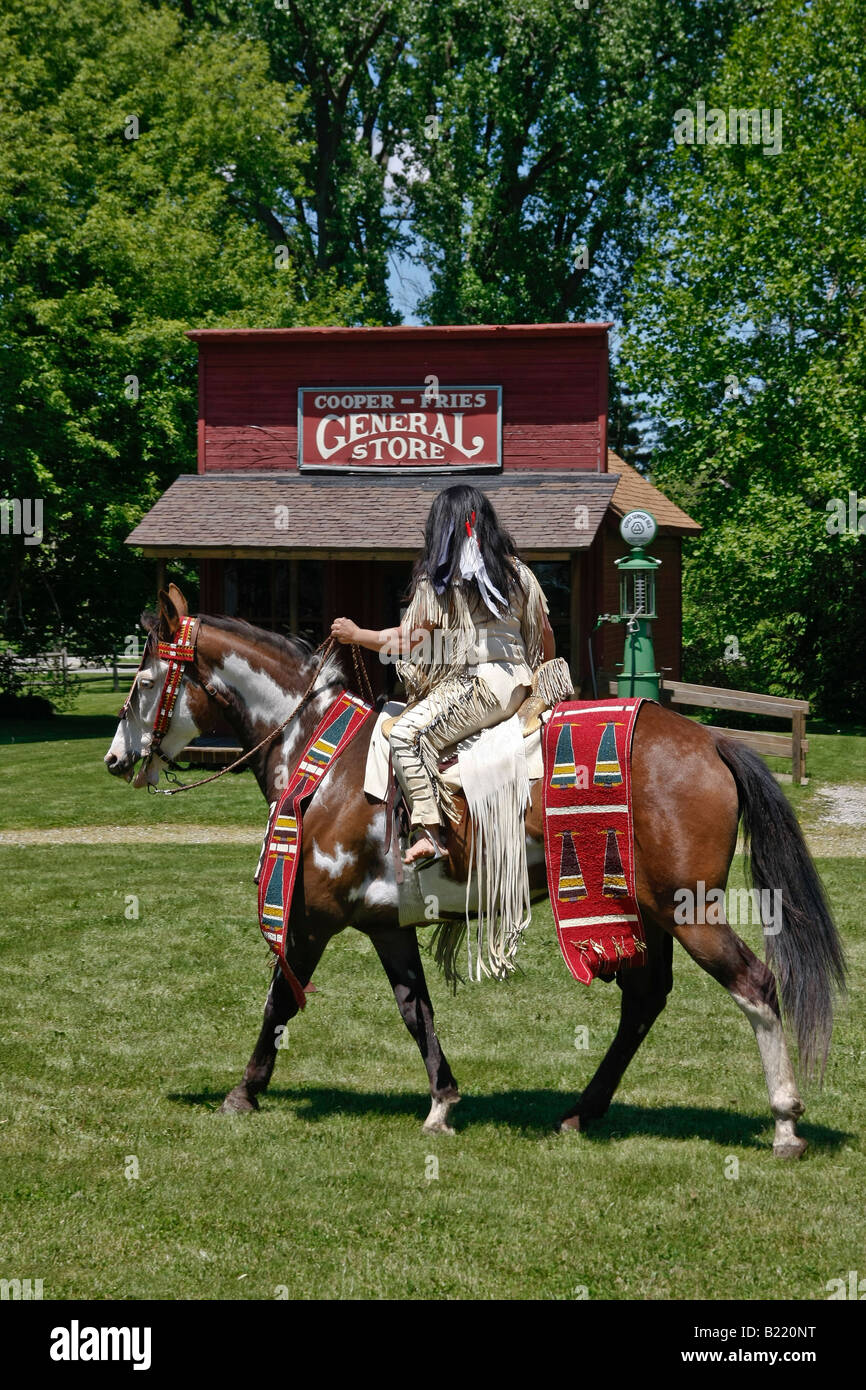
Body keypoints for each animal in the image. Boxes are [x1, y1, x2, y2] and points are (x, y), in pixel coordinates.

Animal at [104, 585, 845, 1156]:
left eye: (142, 682)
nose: (116, 758)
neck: (322, 756)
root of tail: (713, 742)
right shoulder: (386, 924)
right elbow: (416, 1009)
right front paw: (441, 1101)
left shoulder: (313, 917)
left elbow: (279, 1001)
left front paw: (243, 1091)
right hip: (649, 911)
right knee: (644, 1002)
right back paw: (581, 1111)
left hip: (690, 910)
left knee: (755, 985)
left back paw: (784, 1123)